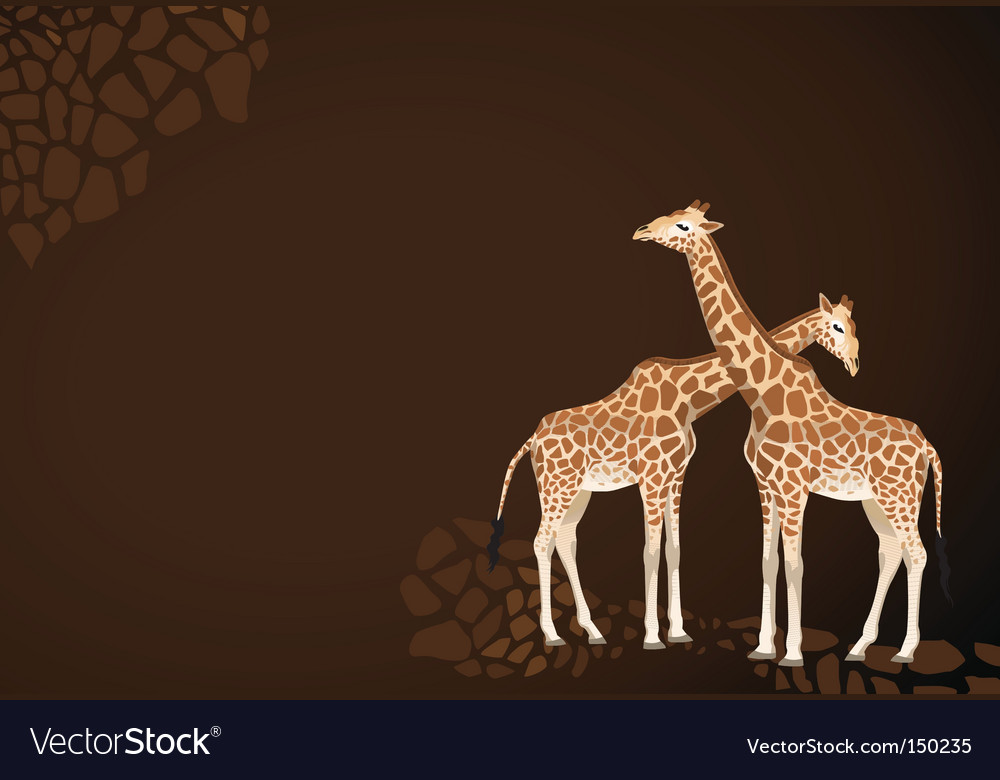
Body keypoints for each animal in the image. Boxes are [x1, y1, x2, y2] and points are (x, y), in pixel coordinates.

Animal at [486, 299, 859, 649]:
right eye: (837, 326)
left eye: (854, 325)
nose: (855, 364)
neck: (688, 400)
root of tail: (533, 439)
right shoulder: (652, 476)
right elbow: (650, 551)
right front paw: (653, 637)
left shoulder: (676, 474)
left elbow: (673, 549)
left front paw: (678, 632)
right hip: (556, 486)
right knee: (541, 541)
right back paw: (551, 634)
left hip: (578, 490)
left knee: (563, 540)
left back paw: (592, 630)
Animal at [633, 201, 946, 666]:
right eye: (672, 215)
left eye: (684, 225)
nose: (641, 231)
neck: (761, 391)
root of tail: (926, 446)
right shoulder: (766, 485)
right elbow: (769, 562)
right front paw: (764, 647)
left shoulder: (794, 486)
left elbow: (797, 564)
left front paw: (793, 653)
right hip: (877, 500)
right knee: (893, 553)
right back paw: (860, 647)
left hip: (900, 497)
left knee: (919, 554)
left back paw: (905, 650)